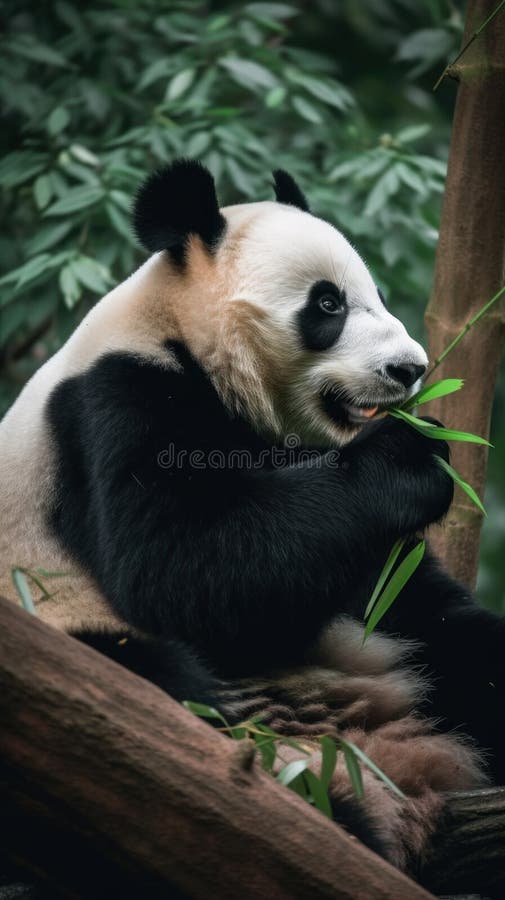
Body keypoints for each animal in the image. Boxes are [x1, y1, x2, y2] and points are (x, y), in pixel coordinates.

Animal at [1, 159, 504, 879]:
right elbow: (179, 568)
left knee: (462, 656)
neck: (180, 329)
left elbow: (389, 586)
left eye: (375, 293)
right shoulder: (114, 402)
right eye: (327, 305)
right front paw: (412, 453)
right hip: (61, 620)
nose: (409, 369)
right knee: (143, 676)